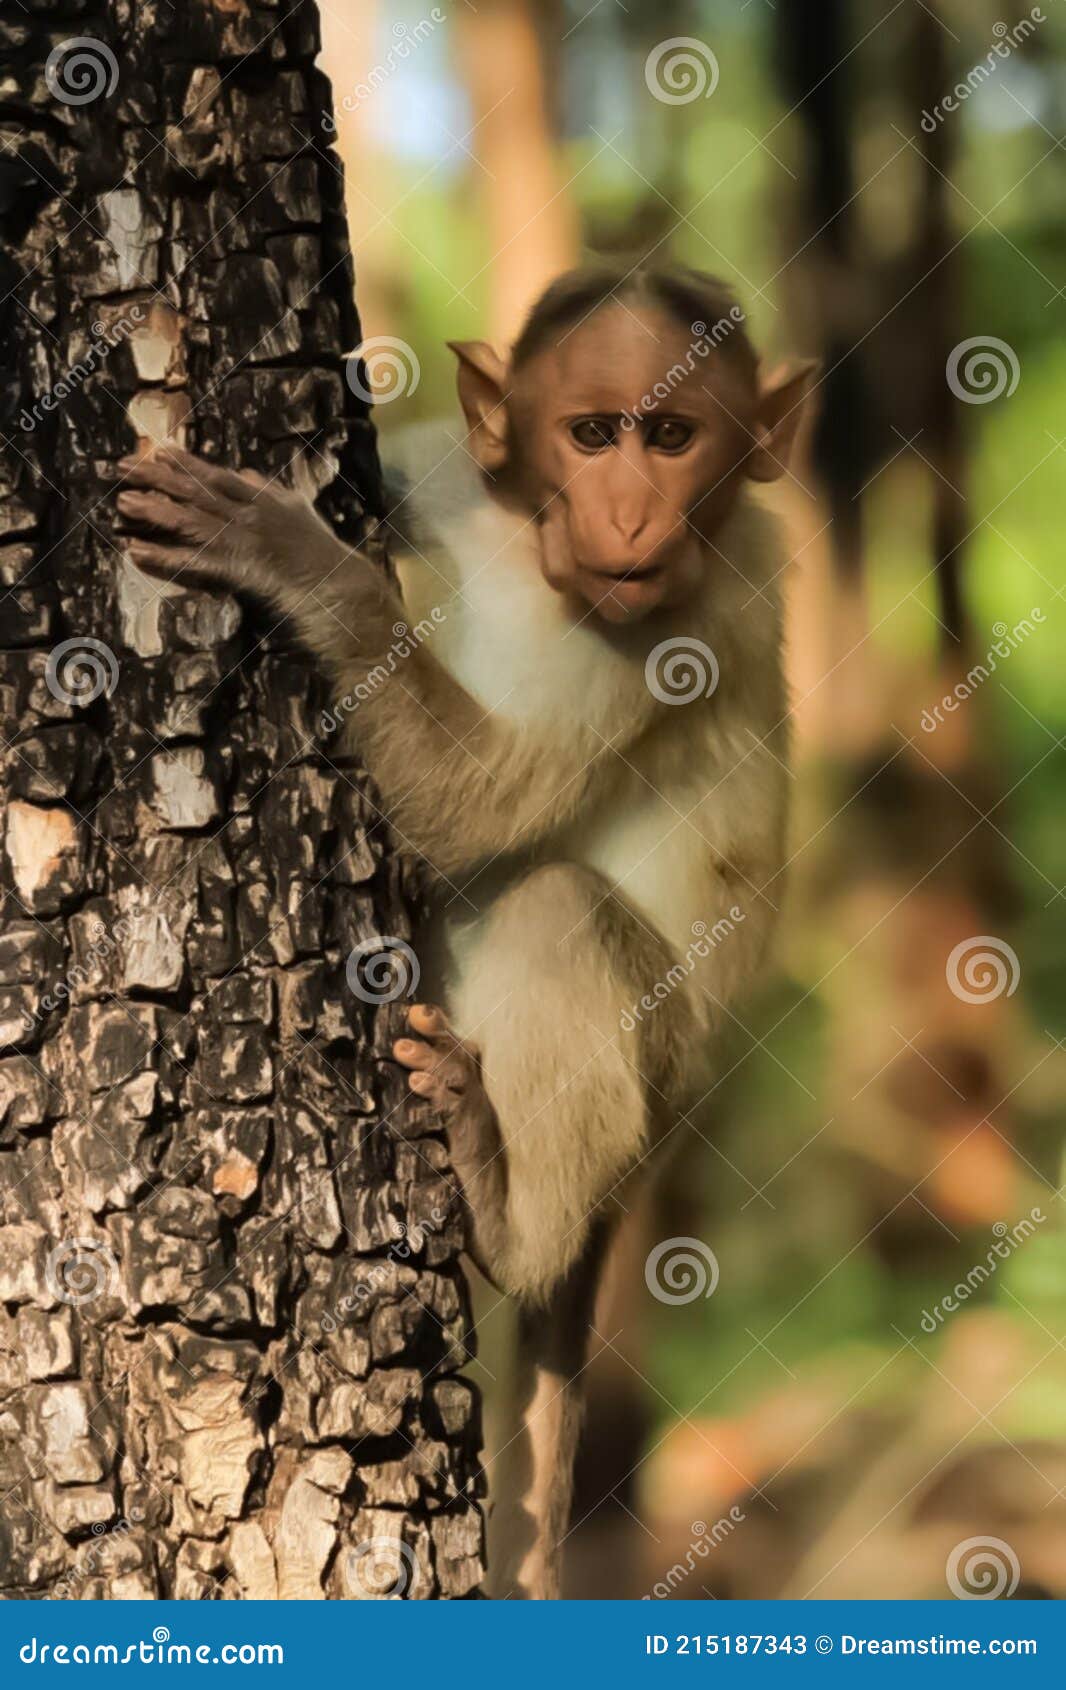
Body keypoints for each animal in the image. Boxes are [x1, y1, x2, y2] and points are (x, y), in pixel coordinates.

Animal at [113, 264, 817, 1600]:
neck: (529, 554)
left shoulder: (660, 639)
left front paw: (297, 562)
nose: (629, 515)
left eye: (673, 436)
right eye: (592, 433)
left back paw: (503, 1205)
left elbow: (472, 805)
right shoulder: (456, 478)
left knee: (551, 906)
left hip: (650, 1069)